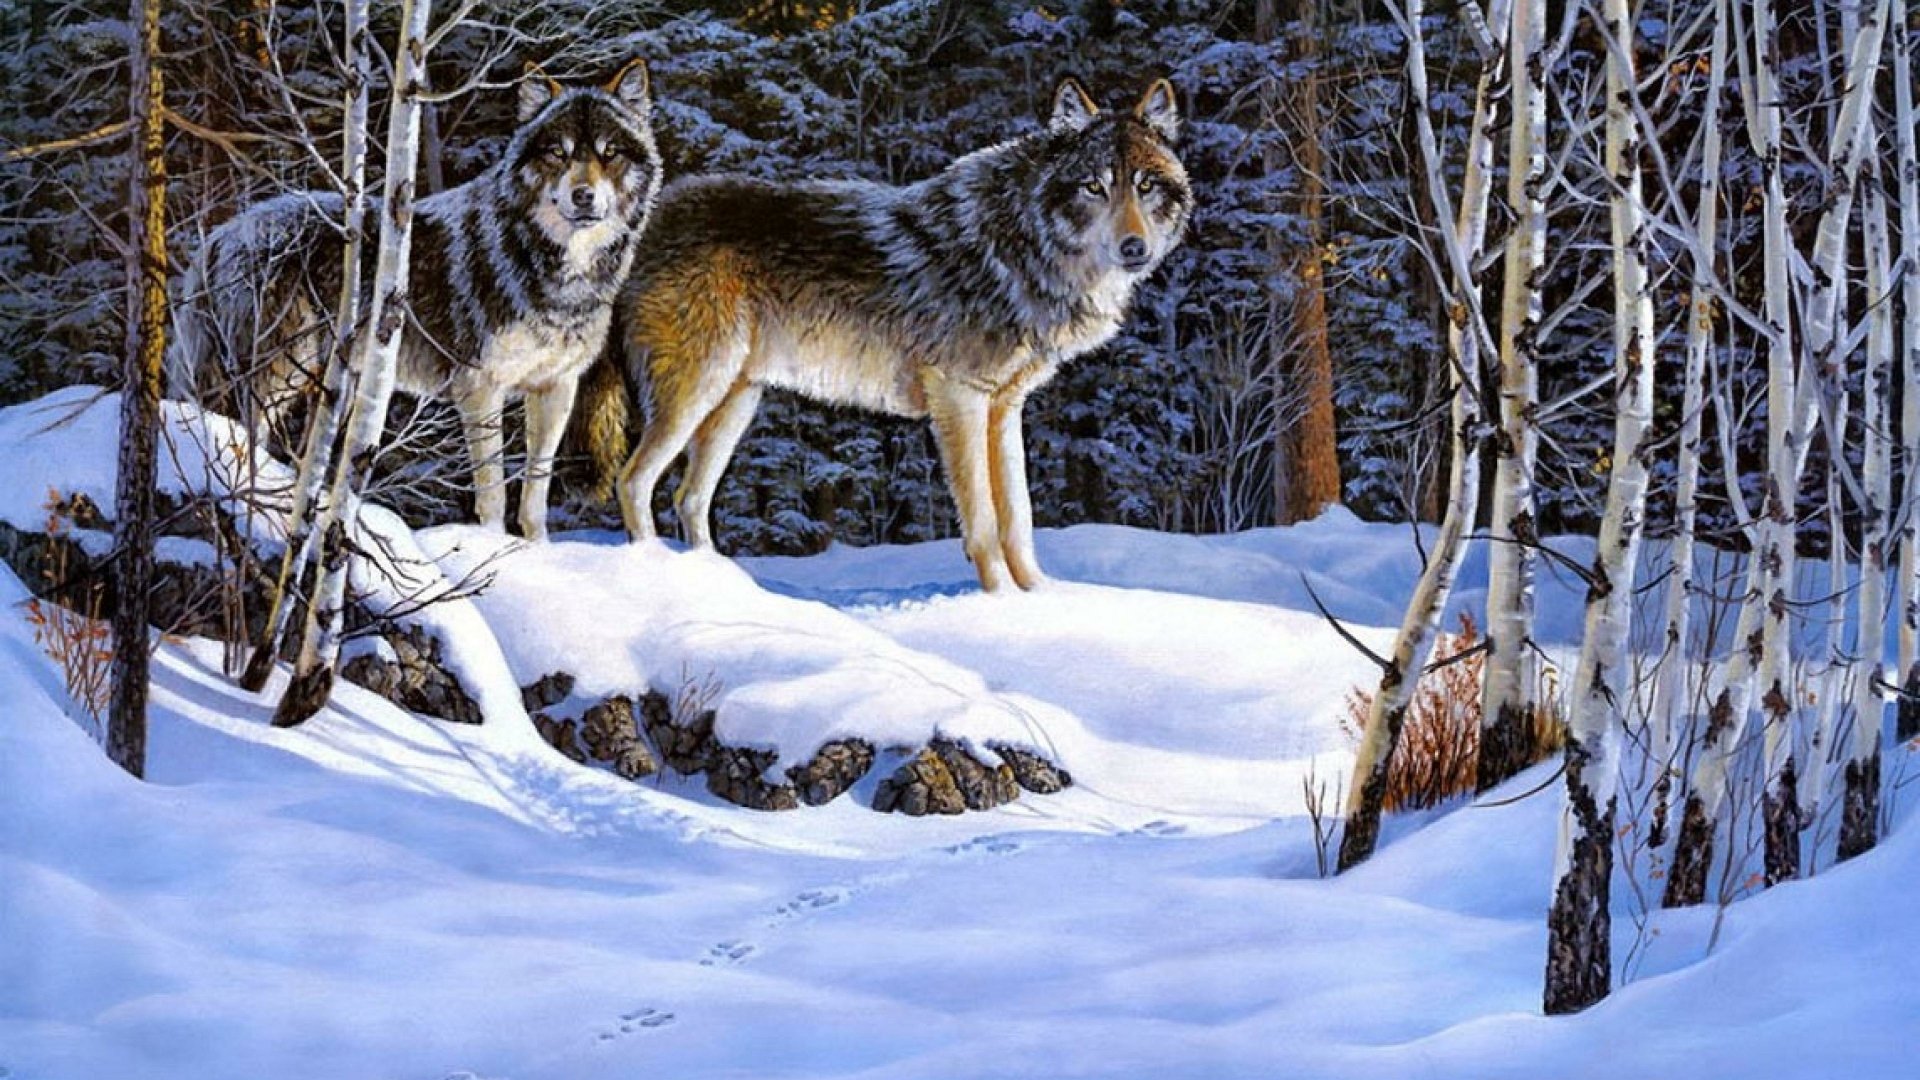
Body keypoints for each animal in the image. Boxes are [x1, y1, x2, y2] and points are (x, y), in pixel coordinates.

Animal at [173, 59, 661, 540]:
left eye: (609, 153)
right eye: (558, 153)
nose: (584, 196)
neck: (558, 274)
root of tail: (221, 234)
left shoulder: (555, 388)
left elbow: (535, 494)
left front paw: (537, 552)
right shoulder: (480, 390)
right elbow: (492, 491)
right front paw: (493, 547)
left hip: (334, 390)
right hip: (276, 378)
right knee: (237, 433)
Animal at [594, 78, 1190, 590]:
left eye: (1145, 186)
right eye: (1094, 187)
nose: (1135, 248)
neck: (1021, 247)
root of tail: (644, 221)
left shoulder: (1005, 407)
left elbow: (1018, 517)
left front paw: (1038, 597)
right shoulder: (959, 398)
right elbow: (982, 521)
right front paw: (998, 602)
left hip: (734, 403)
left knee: (689, 497)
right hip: (695, 394)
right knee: (635, 481)